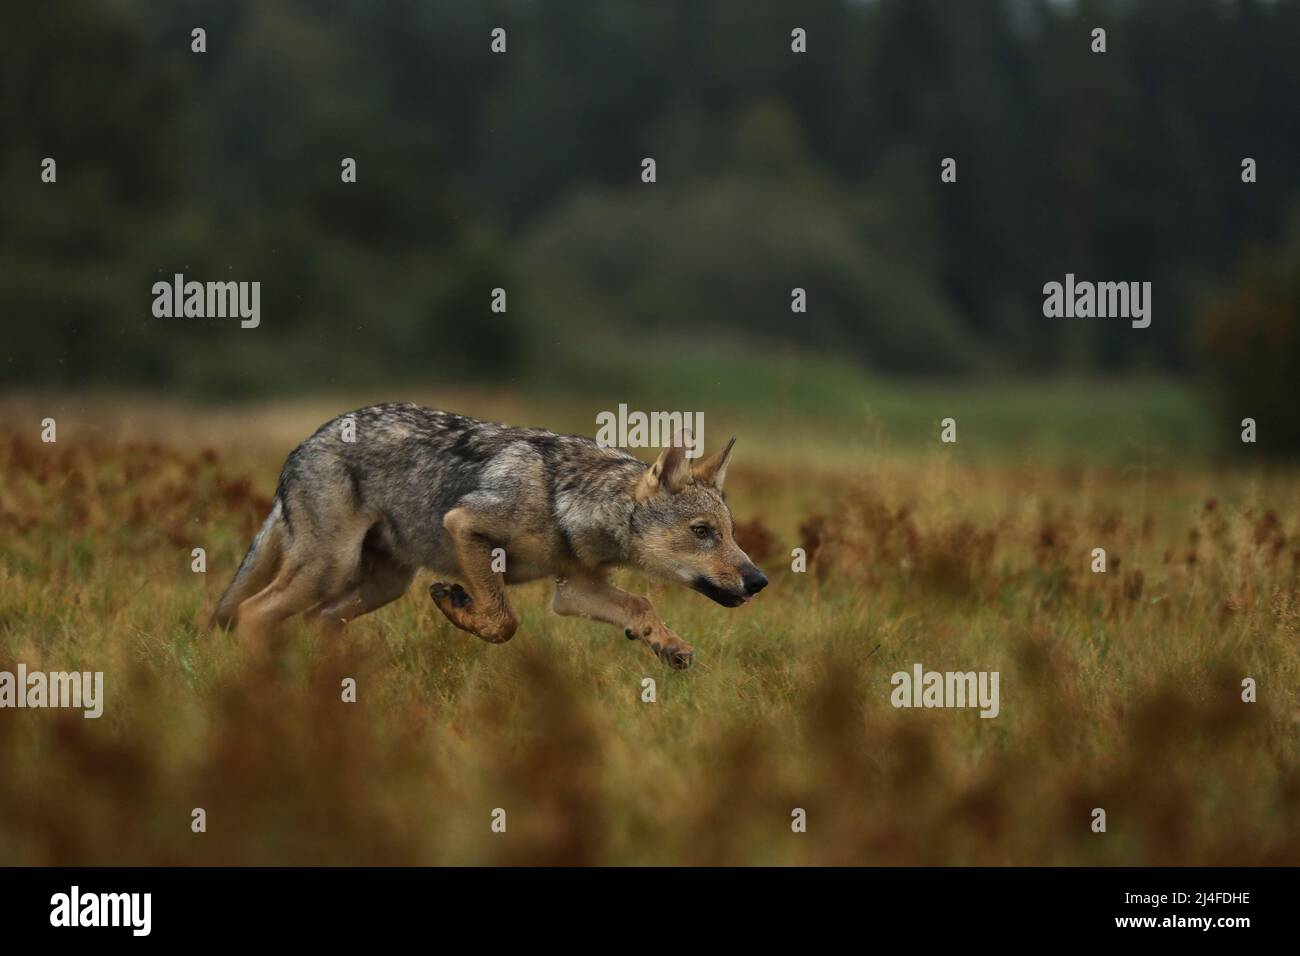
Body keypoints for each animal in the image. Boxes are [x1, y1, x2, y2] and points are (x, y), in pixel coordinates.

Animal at [212, 403, 768, 668]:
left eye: (730, 533)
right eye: (702, 532)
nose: (759, 581)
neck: (568, 499)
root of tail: (303, 445)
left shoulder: (573, 590)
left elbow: (642, 606)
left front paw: (667, 645)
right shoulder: (465, 525)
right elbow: (503, 621)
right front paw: (455, 605)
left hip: (381, 584)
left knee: (317, 620)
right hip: (331, 568)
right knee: (252, 613)